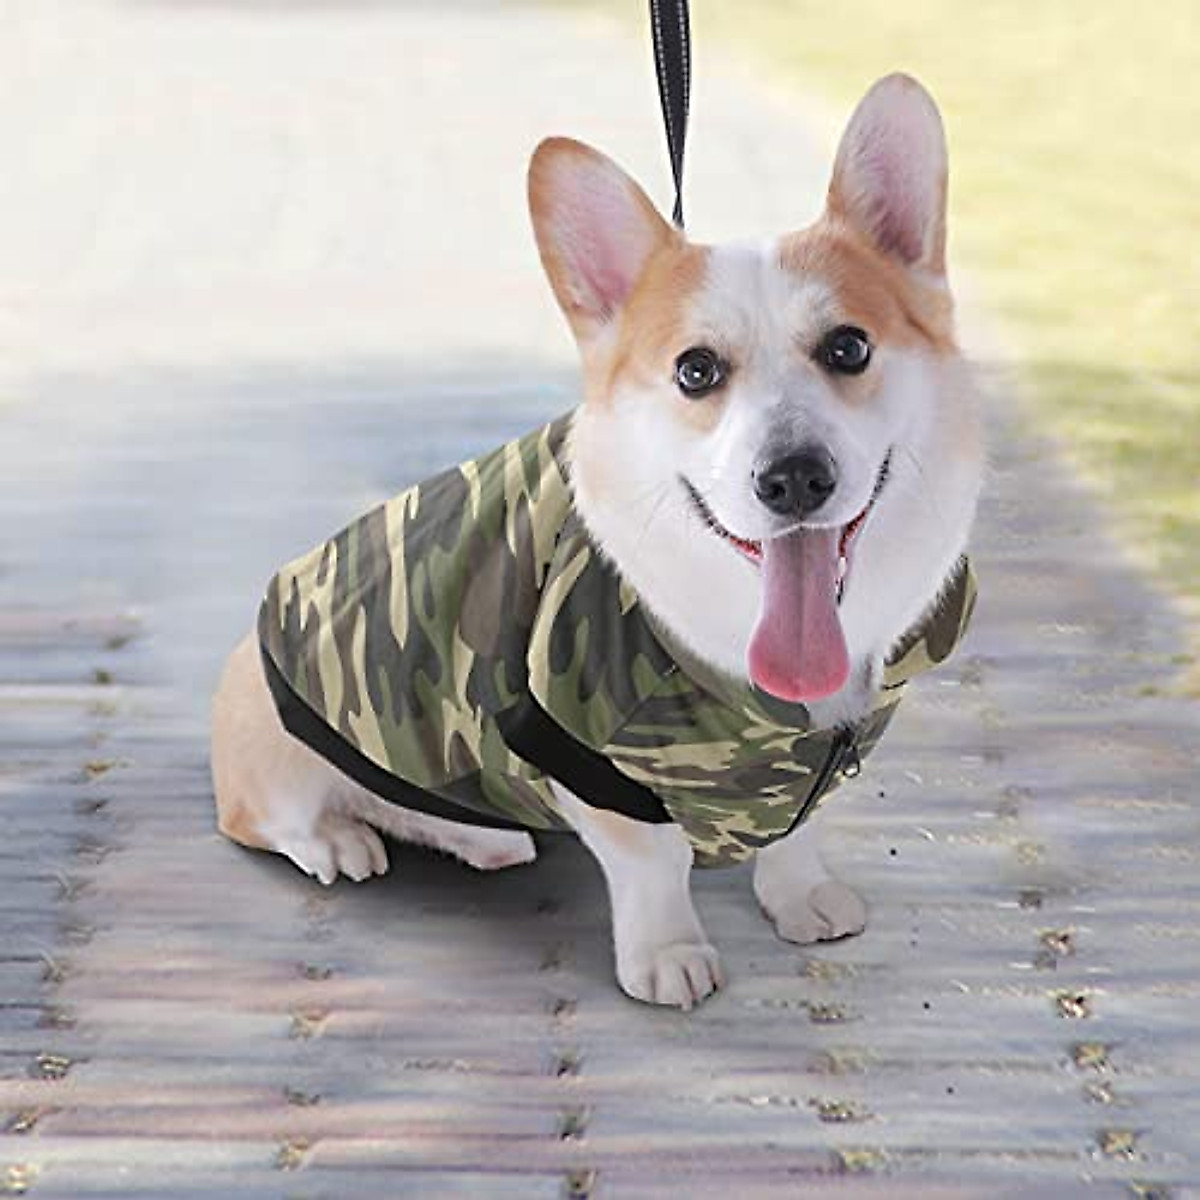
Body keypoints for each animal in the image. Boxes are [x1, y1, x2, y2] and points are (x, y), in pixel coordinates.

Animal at [211, 74, 983, 1010]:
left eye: (848, 347)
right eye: (696, 371)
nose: (794, 478)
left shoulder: (818, 763)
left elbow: (796, 832)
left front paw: (801, 898)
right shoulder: (584, 754)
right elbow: (652, 868)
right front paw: (669, 956)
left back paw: (483, 837)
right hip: (279, 758)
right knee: (275, 818)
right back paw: (340, 843)